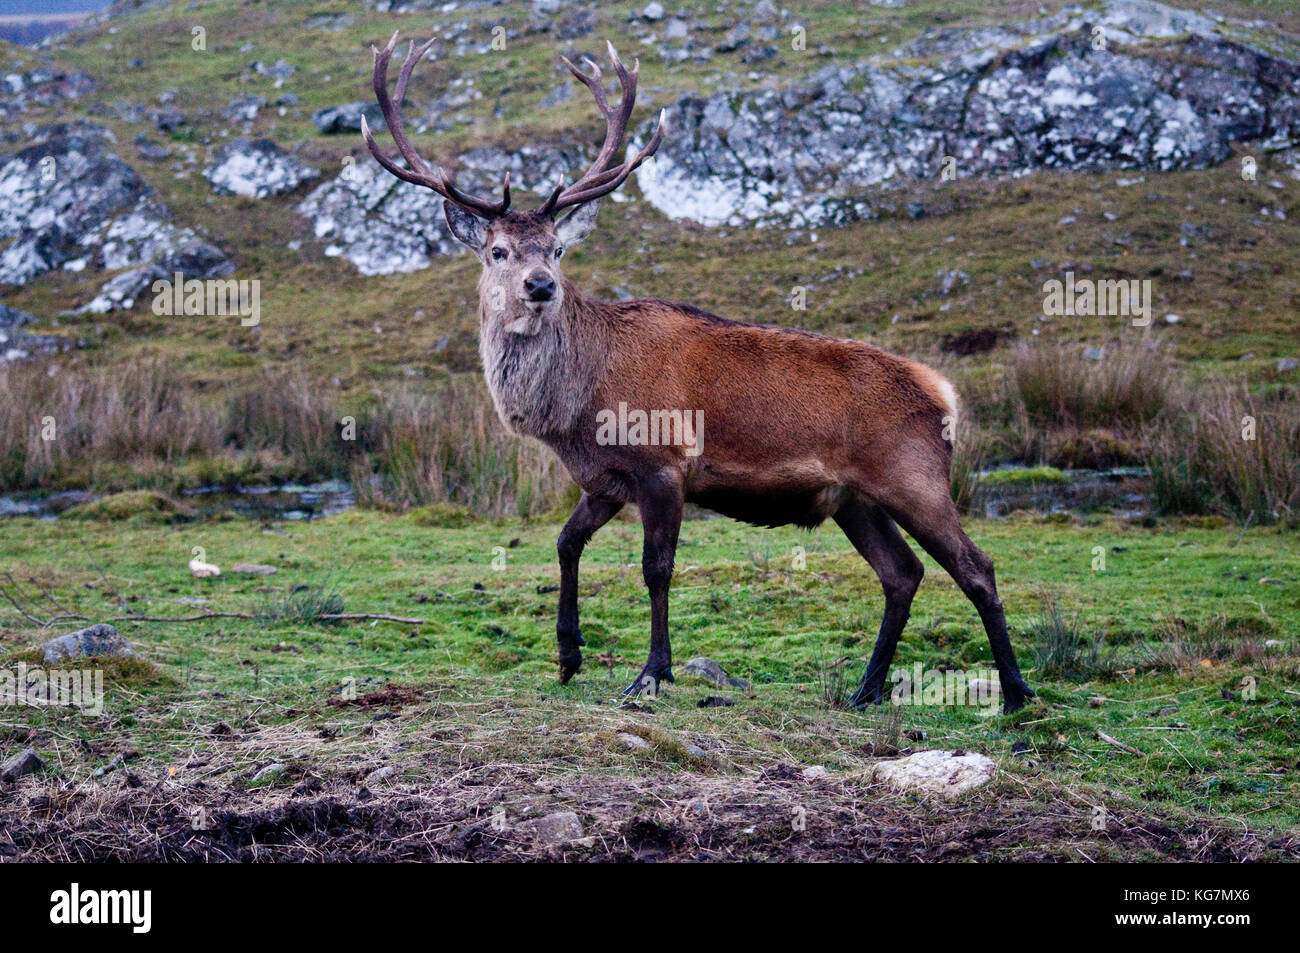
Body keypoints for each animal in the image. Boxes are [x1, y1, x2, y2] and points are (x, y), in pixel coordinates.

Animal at [362, 32, 1037, 713]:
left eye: (557, 248)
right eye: (498, 251)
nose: (541, 286)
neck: (573, 410)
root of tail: (942, 390)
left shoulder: (663, 465)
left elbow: (655, 568)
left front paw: (652, 673)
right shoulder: (605, 479)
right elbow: (565, 542)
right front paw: (568, 656)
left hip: (913, 476)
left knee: (976, 567)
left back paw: (1015, 693)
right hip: (855, 499)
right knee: (902, 573)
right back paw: (866, 690)